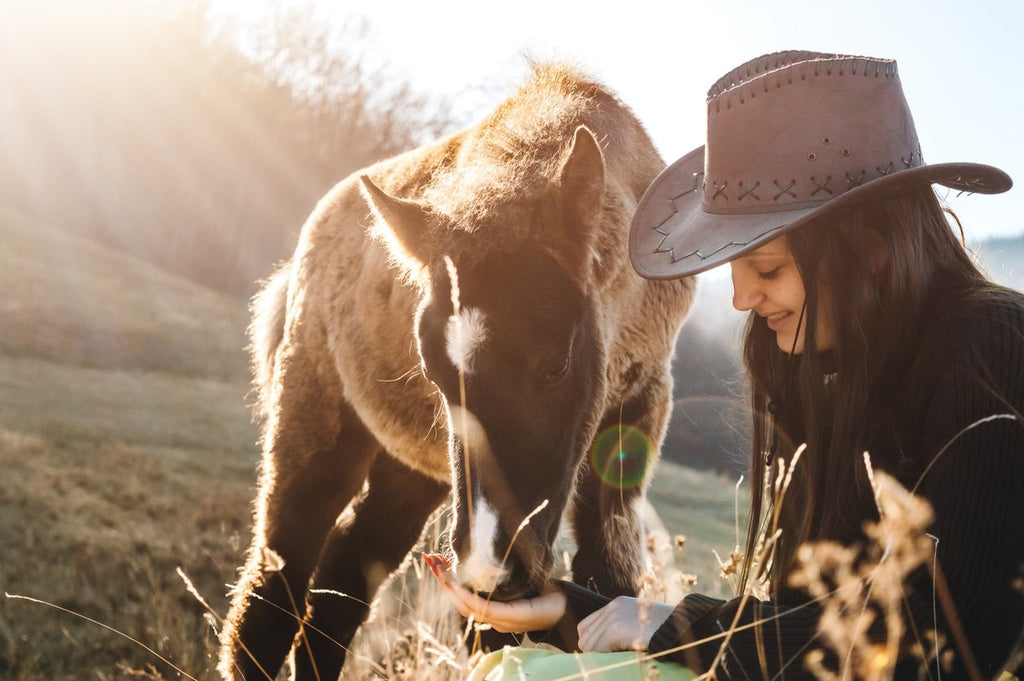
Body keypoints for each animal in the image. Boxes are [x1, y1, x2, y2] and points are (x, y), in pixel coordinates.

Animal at [218, 61, 695, 681]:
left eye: (557, 364)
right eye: (434, 371)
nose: (490, 571)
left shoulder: (640, 403)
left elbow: (607, 574)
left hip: (409, 470)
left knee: (342, 580)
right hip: (317, 425)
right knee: (273, 593)